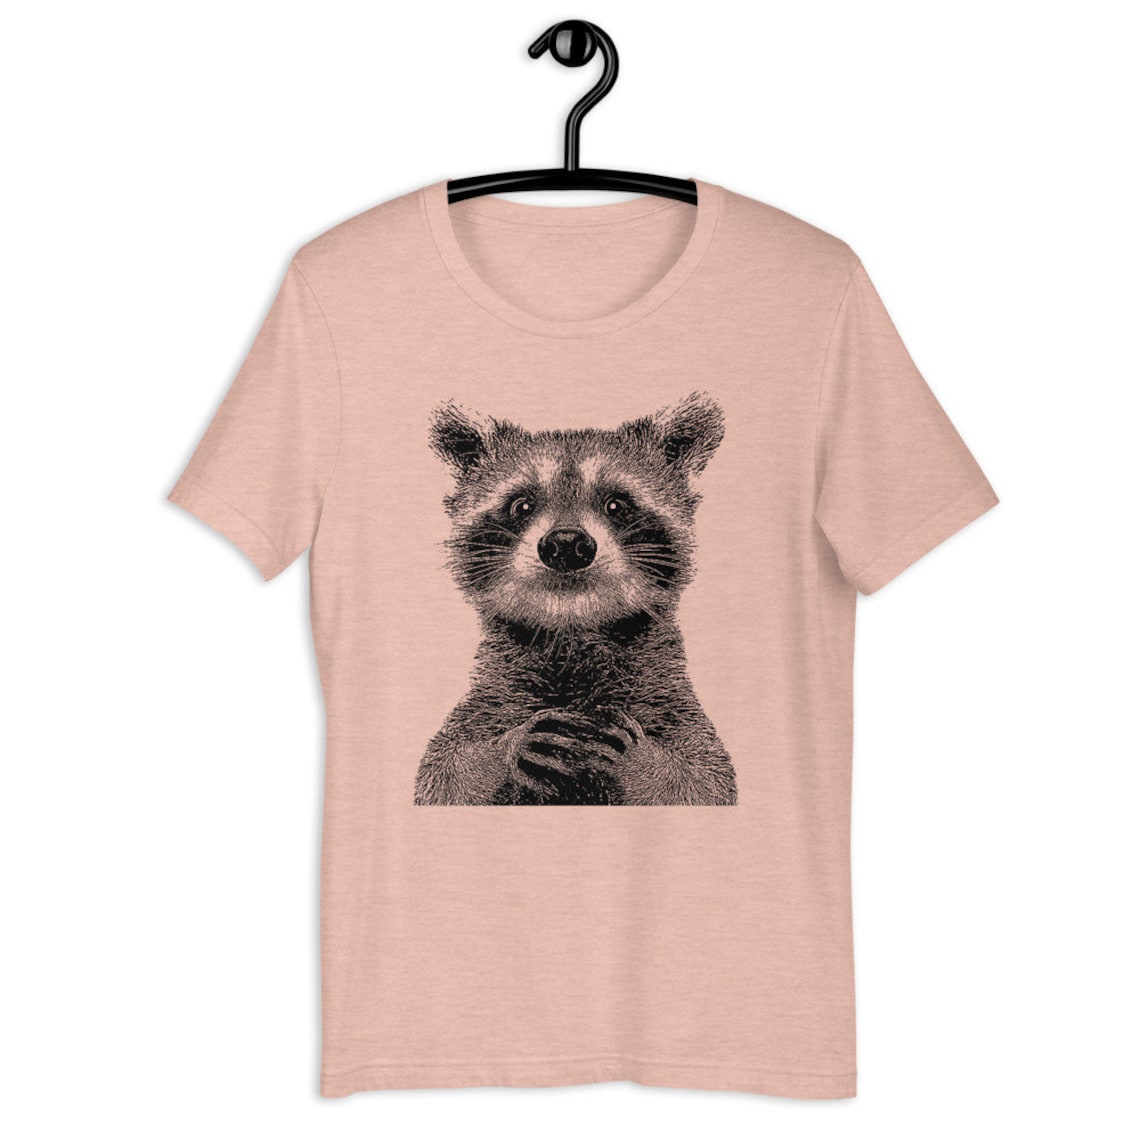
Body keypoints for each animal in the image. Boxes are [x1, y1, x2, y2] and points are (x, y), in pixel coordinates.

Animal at [414, 391, 738, 806]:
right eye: (522, 505)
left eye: (616, 504)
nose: (566, 543)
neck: (573, 631)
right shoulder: (489, 706)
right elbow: (443, 774)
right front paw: (502, 750)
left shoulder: (674, 710)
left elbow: (705, 781)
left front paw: (644, 763)